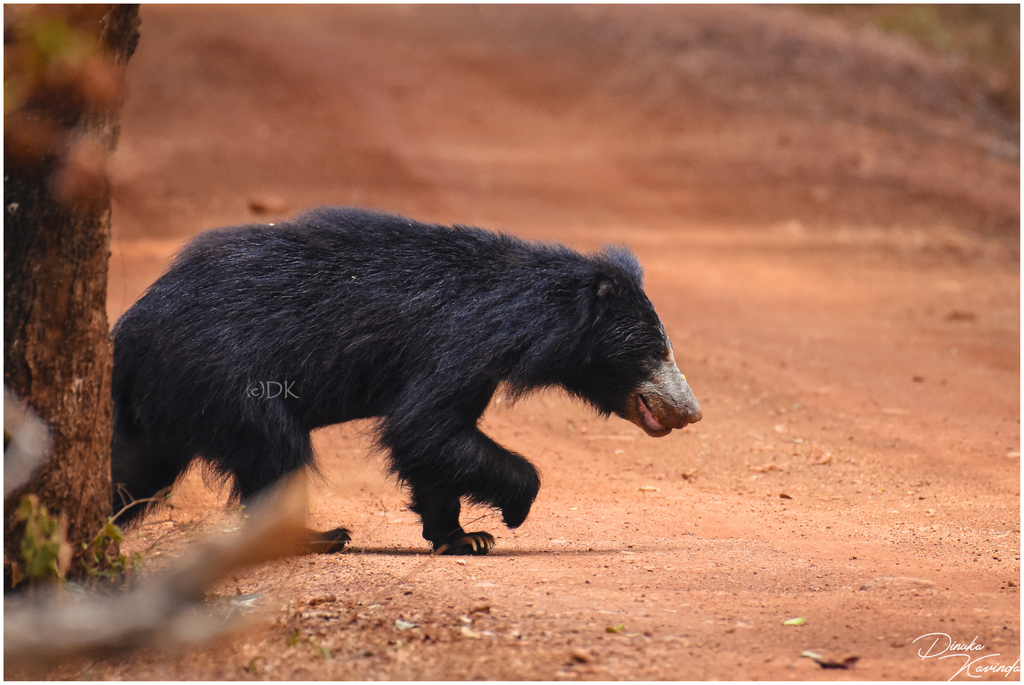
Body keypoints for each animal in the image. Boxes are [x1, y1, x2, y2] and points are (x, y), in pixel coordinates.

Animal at [111, 207, 702, 555]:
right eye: (654, 351)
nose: (691, 411)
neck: (527, 315)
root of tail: (130, 331)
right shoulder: (460, 343)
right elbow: (423, 425)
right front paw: (512, 513)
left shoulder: (473, 368)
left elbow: (437, 442)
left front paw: (463, 537)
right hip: (226, 376)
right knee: (275, 451)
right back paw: (320, 537)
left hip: (166, 404)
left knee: (133, 474)